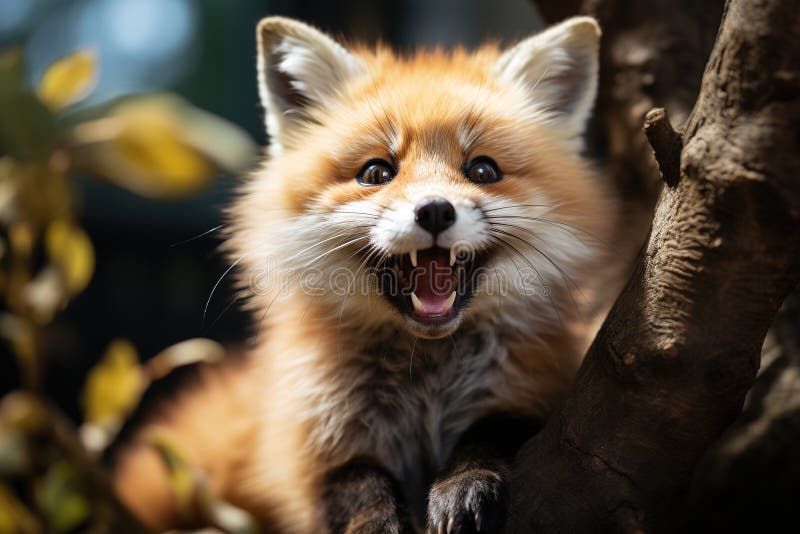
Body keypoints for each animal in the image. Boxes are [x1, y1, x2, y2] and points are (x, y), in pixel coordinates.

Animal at [110, 14, 617, 534]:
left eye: (482, 170)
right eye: (376, 172)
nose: (435, 211)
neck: (424, 384)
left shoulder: (537, 390)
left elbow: (492, 430)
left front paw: (465, 483)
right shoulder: (305, 447)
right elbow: (352, 485)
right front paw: (376, 519)